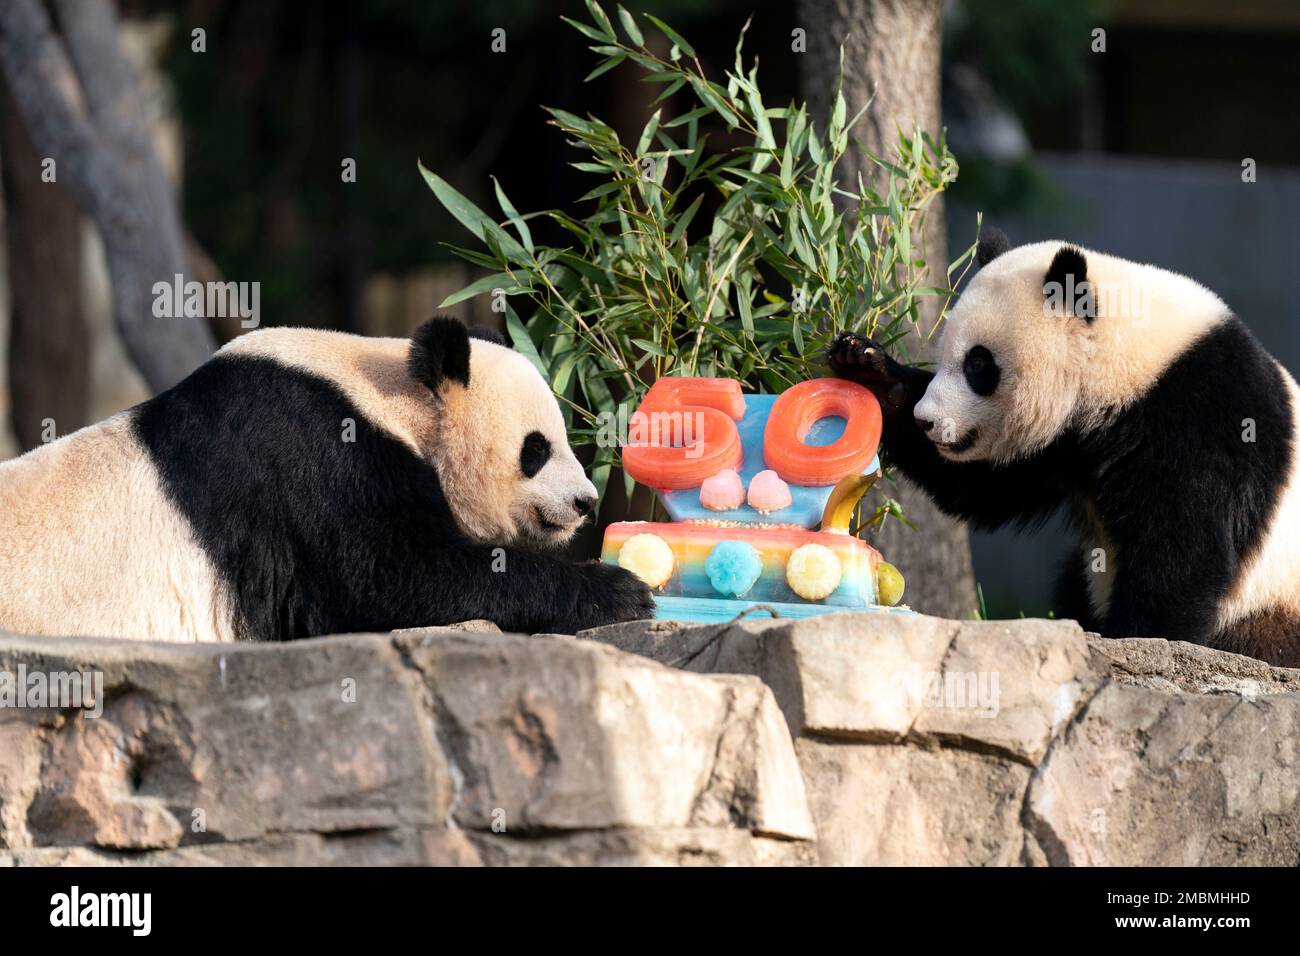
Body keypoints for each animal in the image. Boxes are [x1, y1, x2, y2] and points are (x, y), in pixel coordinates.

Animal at [0, 317, 653, 642]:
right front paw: (619, 589)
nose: (584, 501)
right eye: (536, 449)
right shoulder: (310, 460)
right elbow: (389, 577)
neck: (387, 394)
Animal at [830, 230, 1300, 667]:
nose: (927, 420)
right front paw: (866, 367)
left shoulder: (1200, 420)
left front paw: (1138, 639)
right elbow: (982, 484)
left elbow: (1183, 549)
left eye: (978, 364)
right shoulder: (1063, 446)